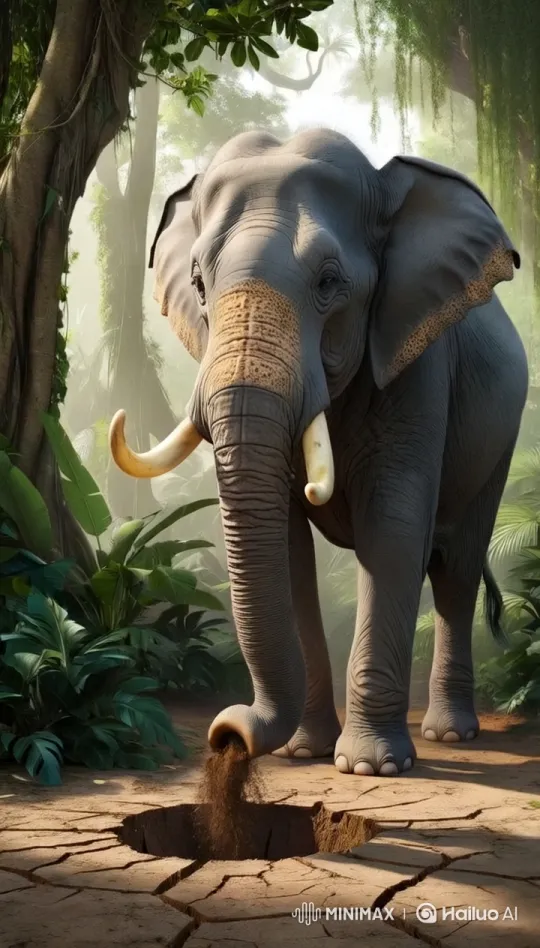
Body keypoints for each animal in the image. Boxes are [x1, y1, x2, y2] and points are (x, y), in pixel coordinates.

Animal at [109, 128, 528, 777]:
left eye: (330, 283)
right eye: (200, 285)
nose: (227, 733)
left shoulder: (417, 361)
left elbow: (392, 528)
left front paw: (372, 767)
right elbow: (287, 547)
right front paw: (306, 752)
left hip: (499, 438)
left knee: (455, 570)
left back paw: (451, 735)